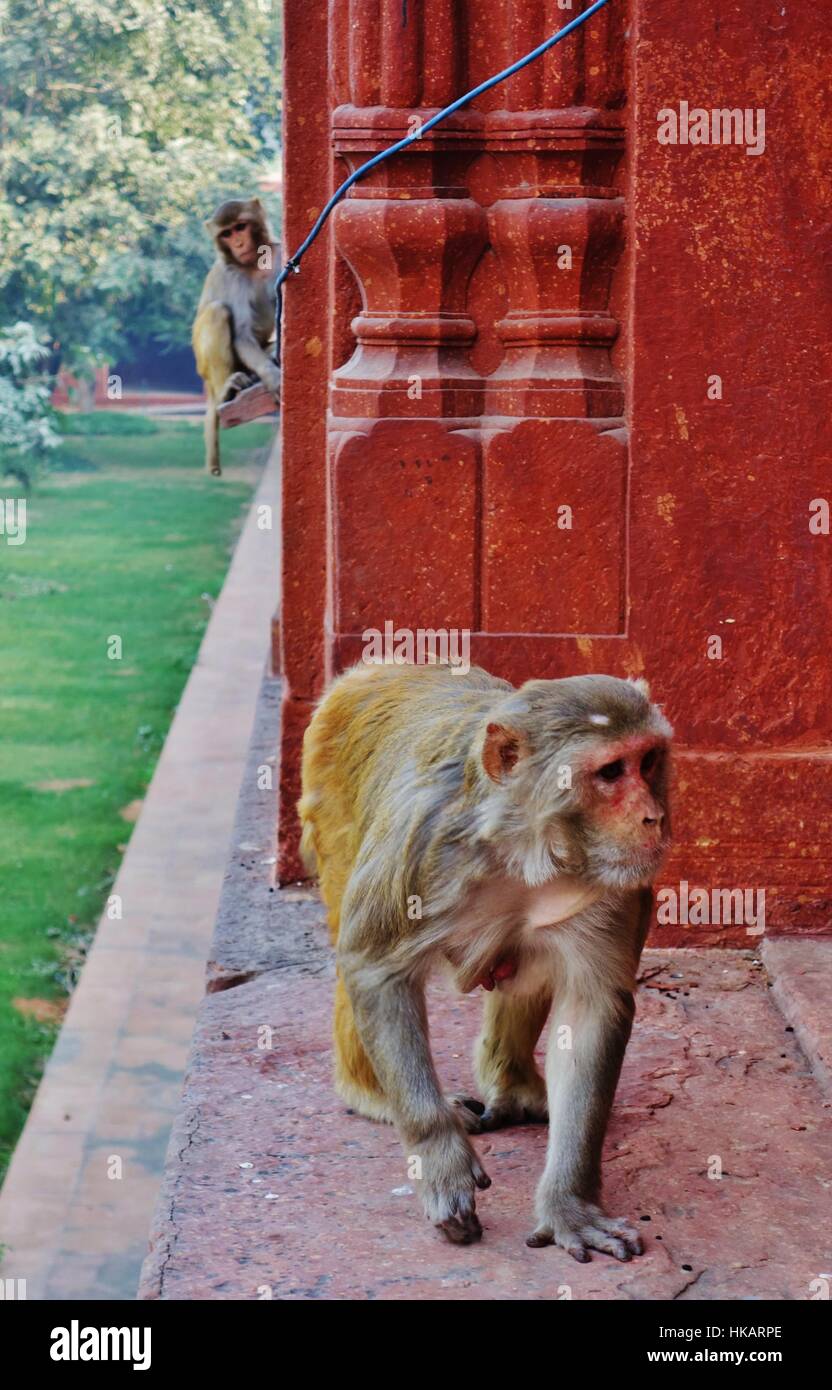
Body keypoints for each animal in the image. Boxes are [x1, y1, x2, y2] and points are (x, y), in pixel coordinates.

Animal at [192, 197, 282, 477]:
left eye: (240, 227)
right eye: (227, 234)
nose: (239, 244)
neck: (254, 263)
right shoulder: (233, 274)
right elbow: (241, 332)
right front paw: (272, 376)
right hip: (204, 366)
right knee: (218, 311)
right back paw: (226, 391)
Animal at [298, 661, 673, 1256]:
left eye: (649, 760)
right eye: (611, 772)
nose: (653, 818)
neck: (525, 844)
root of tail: (375, 669)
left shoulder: (616, 883)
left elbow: (589, 1008)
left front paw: (569, 1202)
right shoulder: (421, 843)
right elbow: (374, 968)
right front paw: (439, 1158)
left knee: (532, 959)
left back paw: (513, 1083)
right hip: (330, 801)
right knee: (351, 950)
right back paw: (371, 1093)